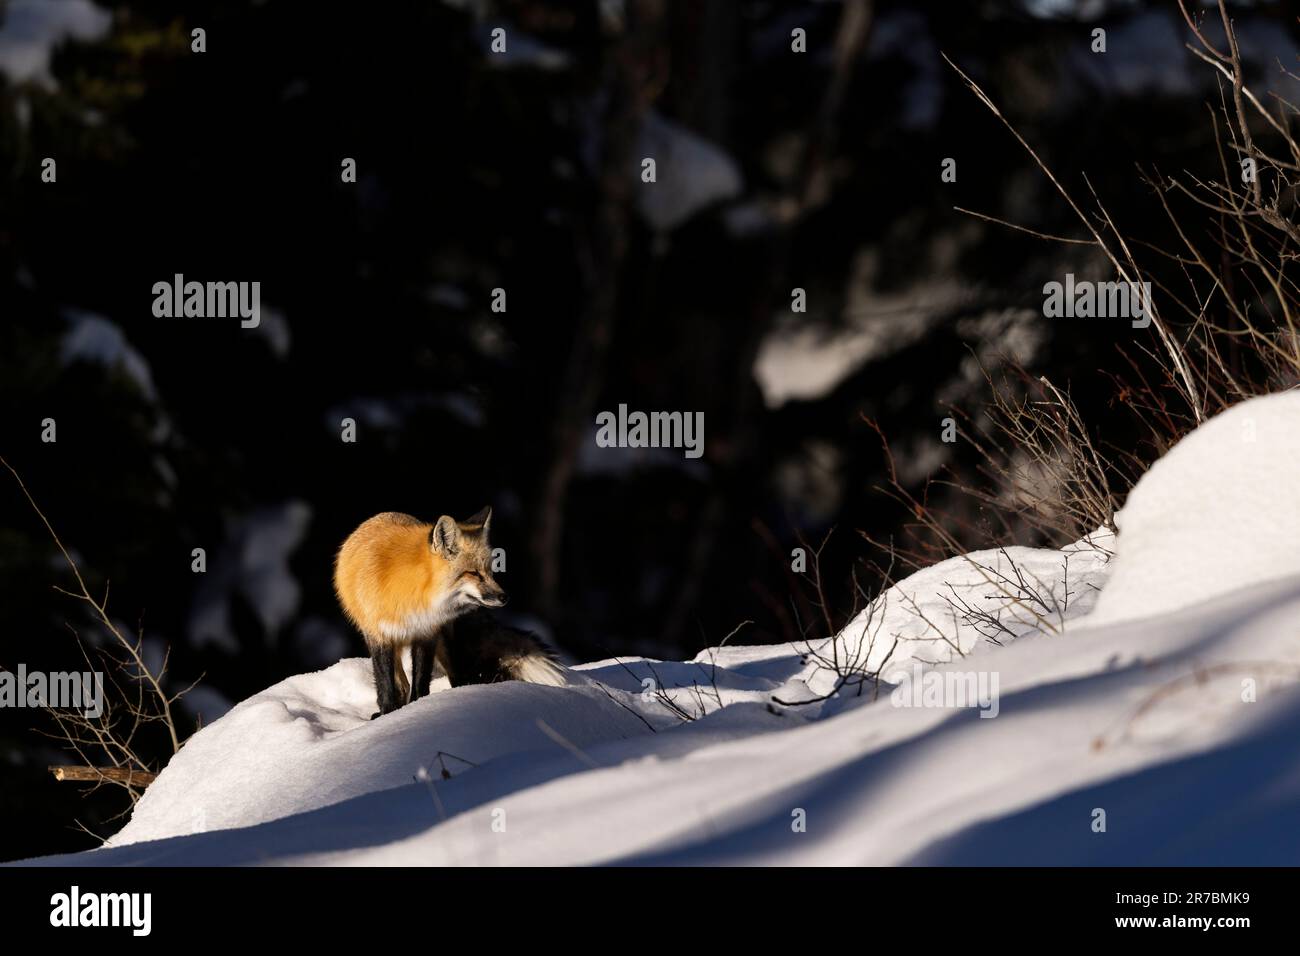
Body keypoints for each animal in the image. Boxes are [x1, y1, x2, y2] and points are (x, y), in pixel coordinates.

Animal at [333, 507, 567, 718]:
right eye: (474, 573)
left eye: (491, 572)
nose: (504, 597)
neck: (413, 594)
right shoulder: (379, 635)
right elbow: (385, 685)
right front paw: (390, 713)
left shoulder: (427, 633)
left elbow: (421, 681)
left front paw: (418, 707)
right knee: (401, 680)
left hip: (445, 641)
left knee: (458, 675)